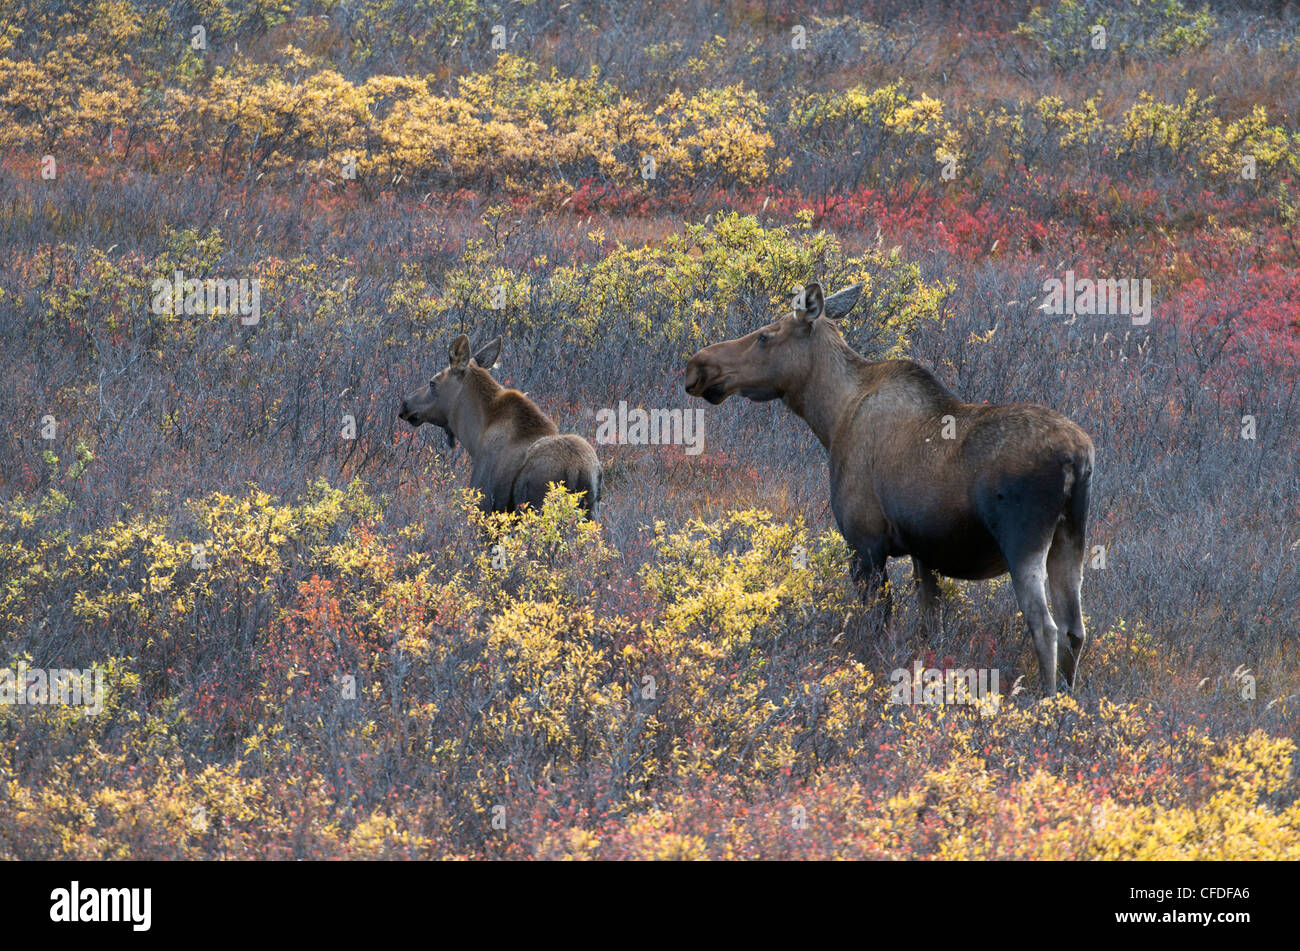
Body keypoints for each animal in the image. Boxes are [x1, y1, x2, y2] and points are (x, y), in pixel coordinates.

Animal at [399, 334, 601, 519]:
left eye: (432, 383)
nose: (405, 404)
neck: (474, 437)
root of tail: (576, 470)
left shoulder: (485, 504)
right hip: (591, 512)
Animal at [683, 282, 1095, 694]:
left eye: (765, 336)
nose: (696, 367)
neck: (829, 417)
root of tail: (1077, 458)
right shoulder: (923, 553)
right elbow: (931, 626)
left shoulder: (865, 541)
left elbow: (876, 627)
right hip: (1070, 537)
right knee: (1074, 629)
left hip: (1023, 542)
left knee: (1045, 627)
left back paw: (1044, 701)